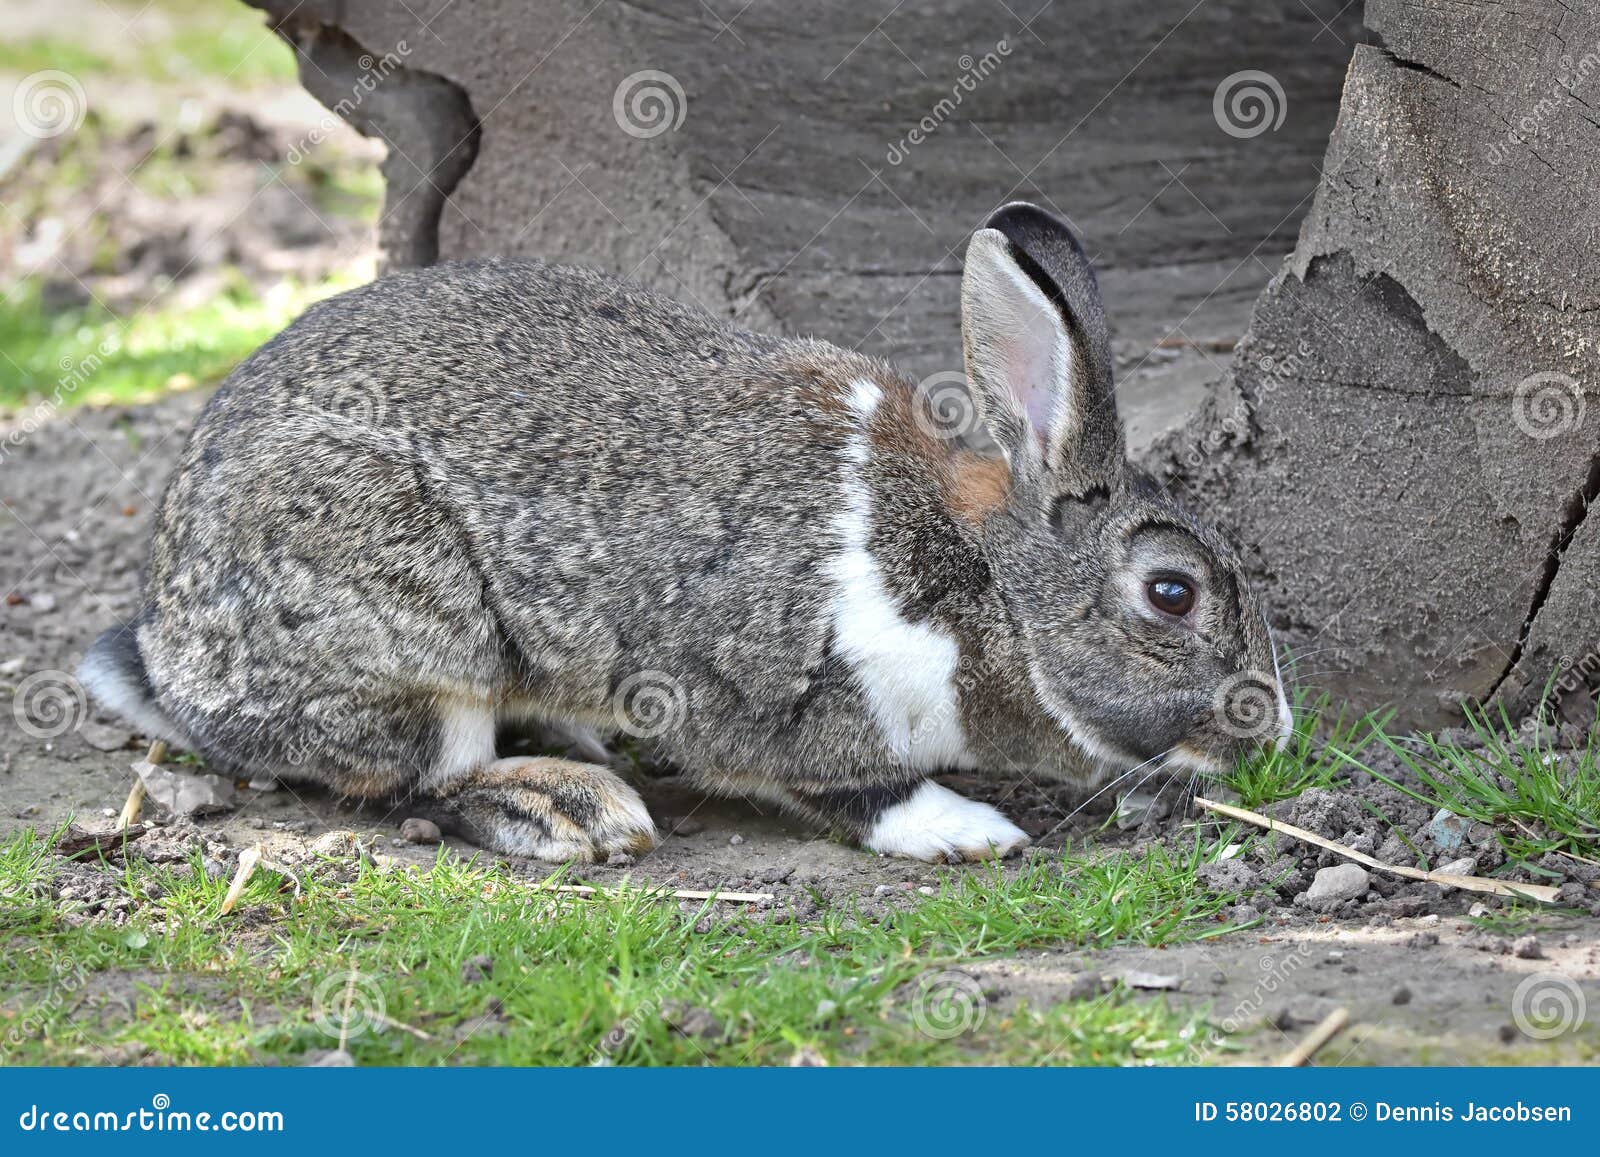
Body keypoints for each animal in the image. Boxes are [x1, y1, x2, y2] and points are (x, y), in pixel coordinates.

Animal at [80, 201, 1292, 863]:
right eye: (1172, 592)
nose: (1271, 726)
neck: (981, 578)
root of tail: (171, 659)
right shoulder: (776, 690)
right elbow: (850, 784)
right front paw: (965, 828)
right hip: (405, 622)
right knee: (425, 773)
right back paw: (574, 805)